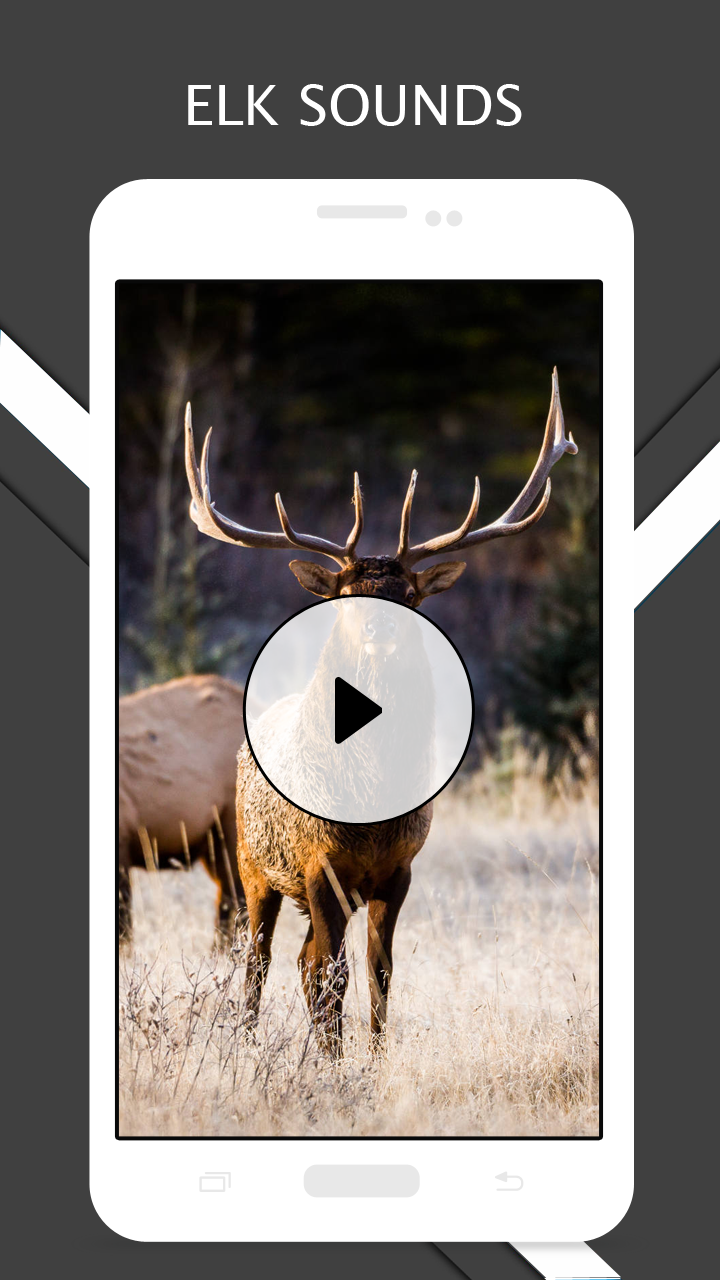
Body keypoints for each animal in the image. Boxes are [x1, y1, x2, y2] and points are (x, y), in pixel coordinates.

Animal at [184, 369, 577, 1053]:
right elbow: (331, 974)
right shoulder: (317, 864)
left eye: (409, 594)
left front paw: (370, 1059)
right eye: (345, 596)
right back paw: (248, 1041)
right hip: (252, 864)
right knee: (259, 959)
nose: (380, 631)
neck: (367, 808)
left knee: (300, 959)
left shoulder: (399, 869)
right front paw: (332, 1065)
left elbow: (379, 971)